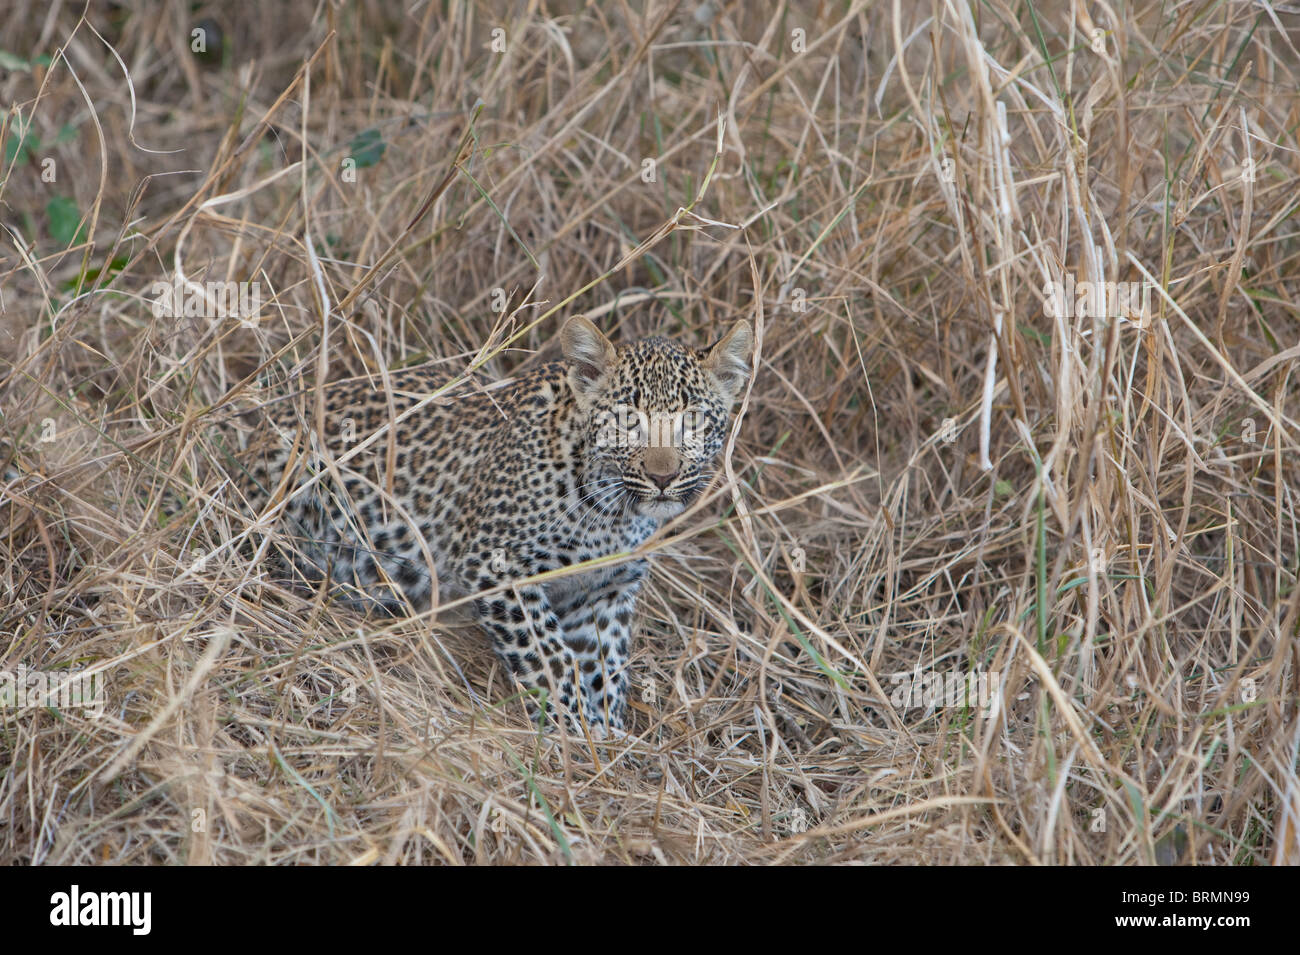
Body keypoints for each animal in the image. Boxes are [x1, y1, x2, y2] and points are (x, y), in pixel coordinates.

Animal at [232, 316, 753, 734]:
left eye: (693, 421)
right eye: (628, 421)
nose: (663, 477)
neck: (614, 515)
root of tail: (252, 438)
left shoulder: (605, 590)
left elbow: (603, 667)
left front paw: (607, 736)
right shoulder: (499, 567)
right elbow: (552, 659)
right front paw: (574, 733)